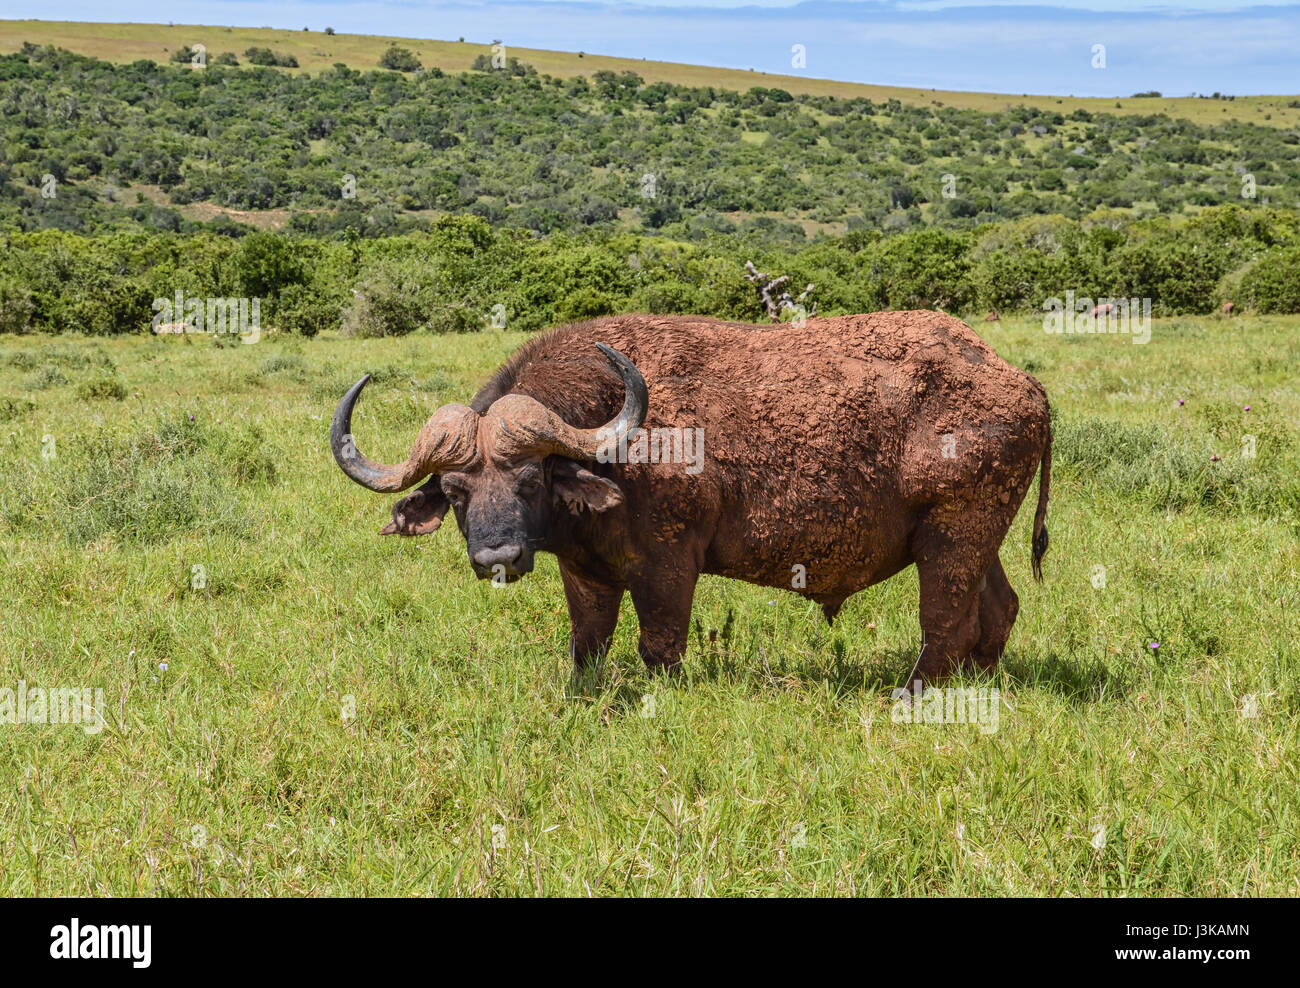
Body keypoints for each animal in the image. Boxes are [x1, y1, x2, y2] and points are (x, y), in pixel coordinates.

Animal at [331, 313, 1052, 683]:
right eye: (456, 492)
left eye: (530, 479)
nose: (497, 557)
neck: (619, 446)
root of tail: (1023, 384)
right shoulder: (585, 574)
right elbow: (587, 646)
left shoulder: (669, 567)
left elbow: (660, 647)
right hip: (978, 540)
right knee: (998, 611)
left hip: (953, 535)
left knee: (946, 623)